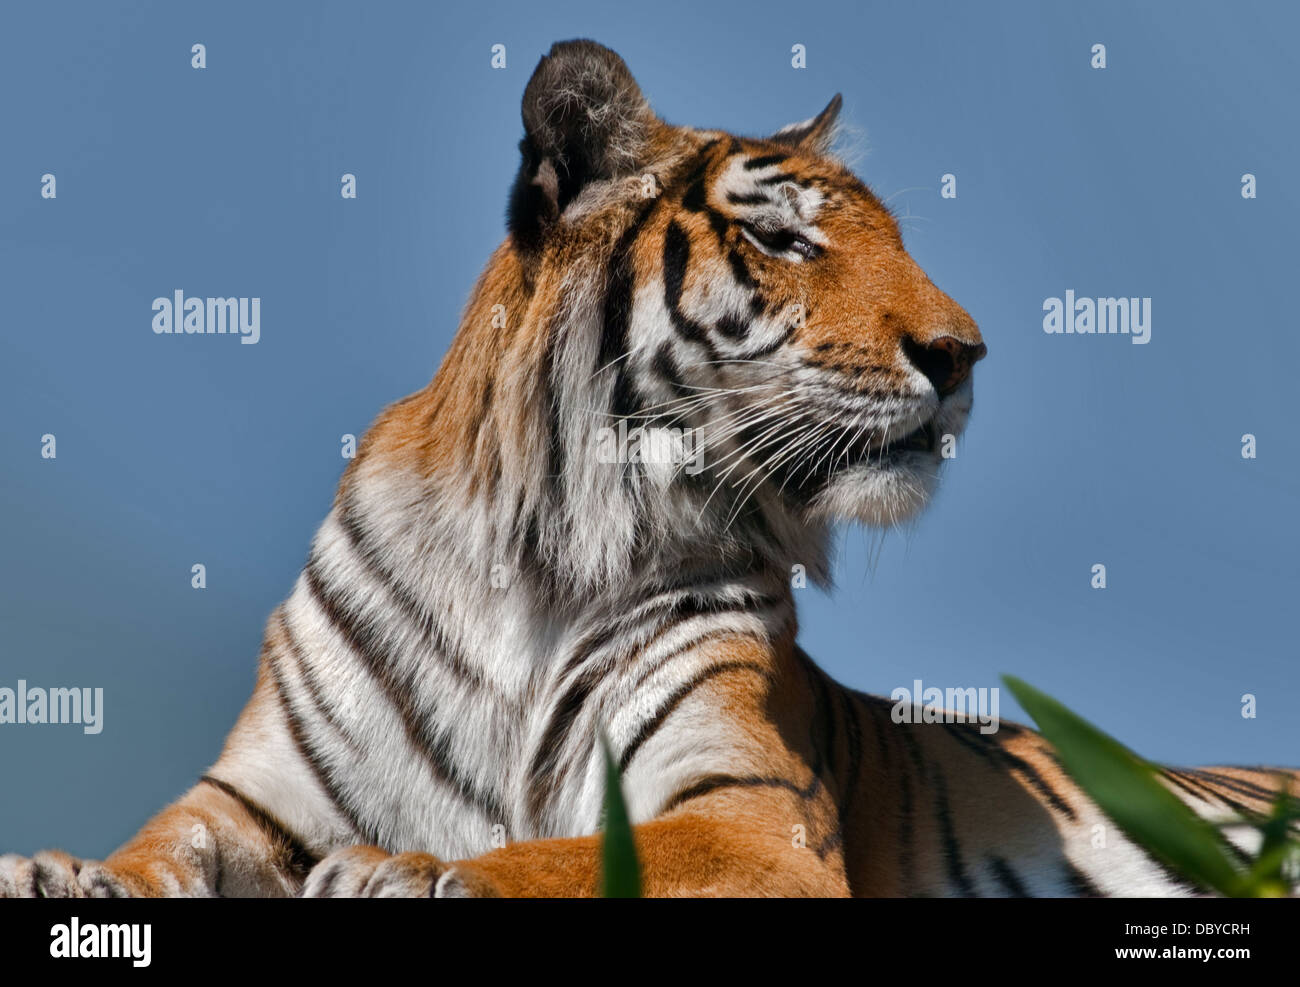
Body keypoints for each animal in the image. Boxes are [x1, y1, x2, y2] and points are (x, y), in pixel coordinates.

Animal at [2, 39, 1293, 899]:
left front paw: (402, 870)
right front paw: (57, 872)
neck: (538, 554)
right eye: (782, 237)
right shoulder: (259, 795)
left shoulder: (748, 817)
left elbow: (555, 858)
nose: (963, 353)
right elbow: (163, 843)